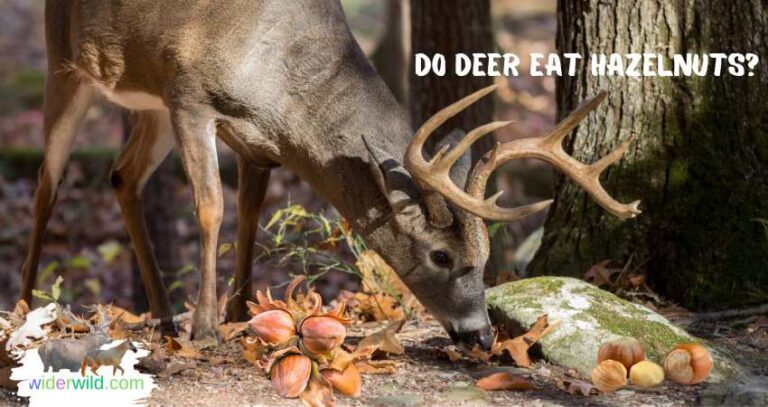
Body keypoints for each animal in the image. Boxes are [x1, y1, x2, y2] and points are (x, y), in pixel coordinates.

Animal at [20, 0, 640, 350]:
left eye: (487, 257)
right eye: (441, 256)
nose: (480, 335)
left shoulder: (258, 143)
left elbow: (250, 214)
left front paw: (241, 313)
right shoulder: (189, 97)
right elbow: (212, 208)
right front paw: (208, 329)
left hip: (145, 103)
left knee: (122, 177)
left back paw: (164, 318)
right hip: (65, 64)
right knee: (47, 184)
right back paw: (27, 308)